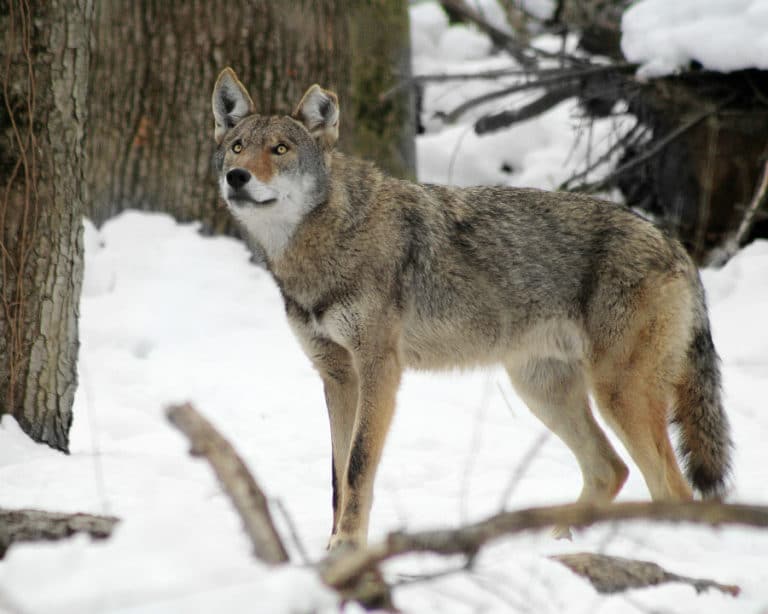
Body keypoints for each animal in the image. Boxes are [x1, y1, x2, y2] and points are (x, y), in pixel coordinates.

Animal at [210, 67, 732, 550]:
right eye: (237, 146)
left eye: (280, 150)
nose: (236, 177)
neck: (328, 242)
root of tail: (675, 245)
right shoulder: (337, 376)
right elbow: (338, 477)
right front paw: (334, 553)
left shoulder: (380, 369)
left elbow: (357, 467)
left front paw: (347, 549)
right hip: (542, 390)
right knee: (610, 470)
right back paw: (558, 541)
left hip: (617, 395)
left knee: (673, 488)